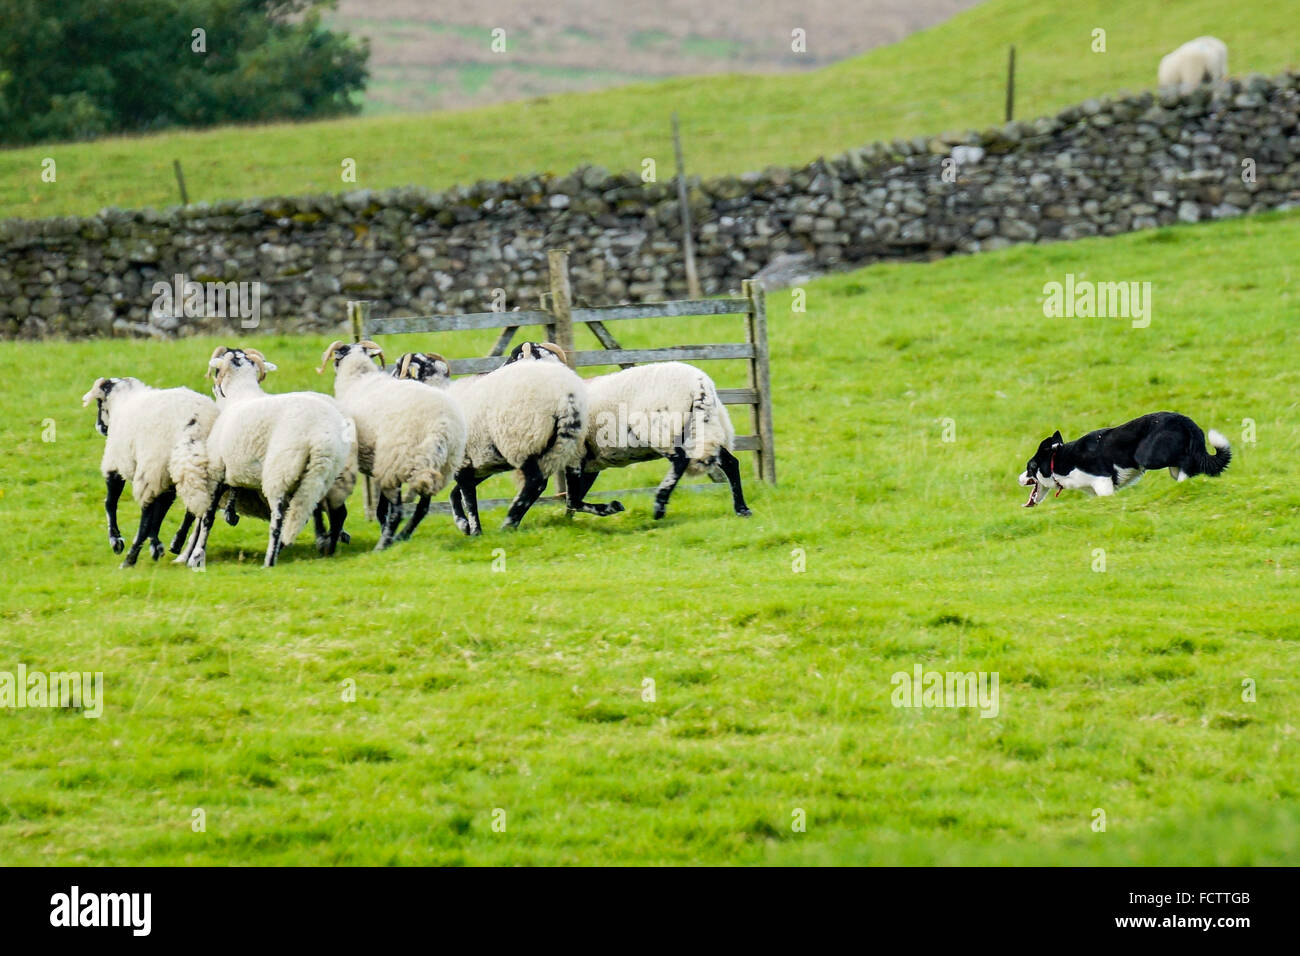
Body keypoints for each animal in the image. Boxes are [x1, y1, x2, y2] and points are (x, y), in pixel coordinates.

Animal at [82, 376, 218, 568]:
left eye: (99, 403)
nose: (99, 427)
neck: (123, 401)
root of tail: (197, 425)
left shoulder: (115, 464)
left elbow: (110, 503)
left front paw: (116, 541)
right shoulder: (165, 478)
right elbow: (161, 509)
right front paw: (156, 544)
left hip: (152, 467)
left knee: (146, 513)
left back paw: (130, 558)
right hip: (198, 470)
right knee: (201, 513)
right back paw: (179, 545)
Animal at [179, 346, 355, 568]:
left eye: (217, 371)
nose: (213, 387)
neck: (239, 394)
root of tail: (320, 437)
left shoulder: (218, 470)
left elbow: (207, 518)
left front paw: (196, 556)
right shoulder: (233, 473)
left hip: (280, 471)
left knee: (278, 520)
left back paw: (270, 560)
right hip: (322, 476)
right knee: (323, 512)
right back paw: (327, 549)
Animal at [318, 340, 467, 549]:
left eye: (398, 365)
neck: (357, 377)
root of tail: (441, 425)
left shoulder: (379, 467)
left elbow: (381, 510)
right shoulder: (378, 467)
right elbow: (382, 508)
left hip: (396, 459)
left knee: (398, 511)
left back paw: (383, 544)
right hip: (438, 466)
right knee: (422, 508)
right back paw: (401, 536)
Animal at [388, 342, 587, 534]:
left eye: (398, 368)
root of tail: (566, 396)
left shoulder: (463, 462)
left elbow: (468, 499)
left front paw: (475, 531)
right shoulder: (482, 465)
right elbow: (456, 494)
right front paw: (463, 526)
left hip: (521, 441)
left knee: (535, 482)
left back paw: (509, 522)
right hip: (565, 446)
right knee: (569, 482)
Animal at [507, 352, 753, 521]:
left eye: (514, 356)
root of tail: (700, 384)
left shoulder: (576, 456)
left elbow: (574, 498)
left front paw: (608, 509)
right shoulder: (591, 461)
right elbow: (574, 498)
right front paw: (569, 521)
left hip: (660, 429)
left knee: (680, 460)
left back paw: (659, 505)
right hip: (701, 428)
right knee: (730, 462)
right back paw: (742, 509)